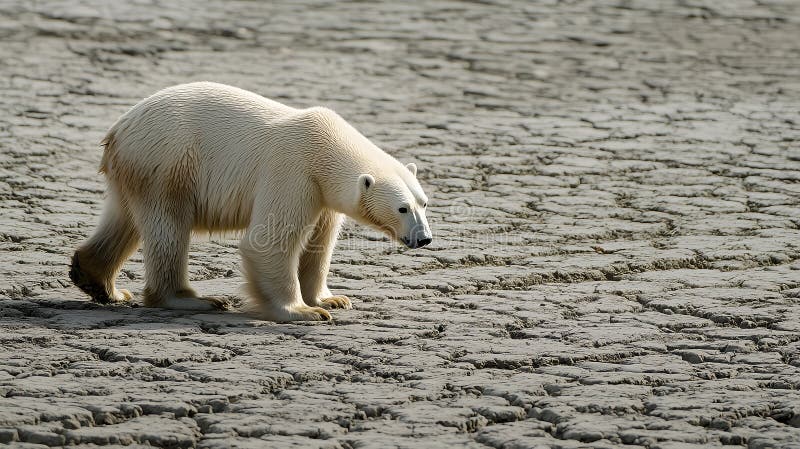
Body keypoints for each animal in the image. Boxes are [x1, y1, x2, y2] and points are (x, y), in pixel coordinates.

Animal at [69, 82, 432, 322]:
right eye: (402, 208)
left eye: (424, 203)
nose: (424, 238)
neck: (325, 146)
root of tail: (119, 129)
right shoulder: (292, 171)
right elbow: (269, 241)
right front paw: (305, 311)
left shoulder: (321, 194)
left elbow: (320, 243)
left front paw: (333, 300)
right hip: (169, 161)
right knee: (168, 227)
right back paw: (195, 299)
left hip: (139, 168)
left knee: (125, 219)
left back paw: (99, 282)